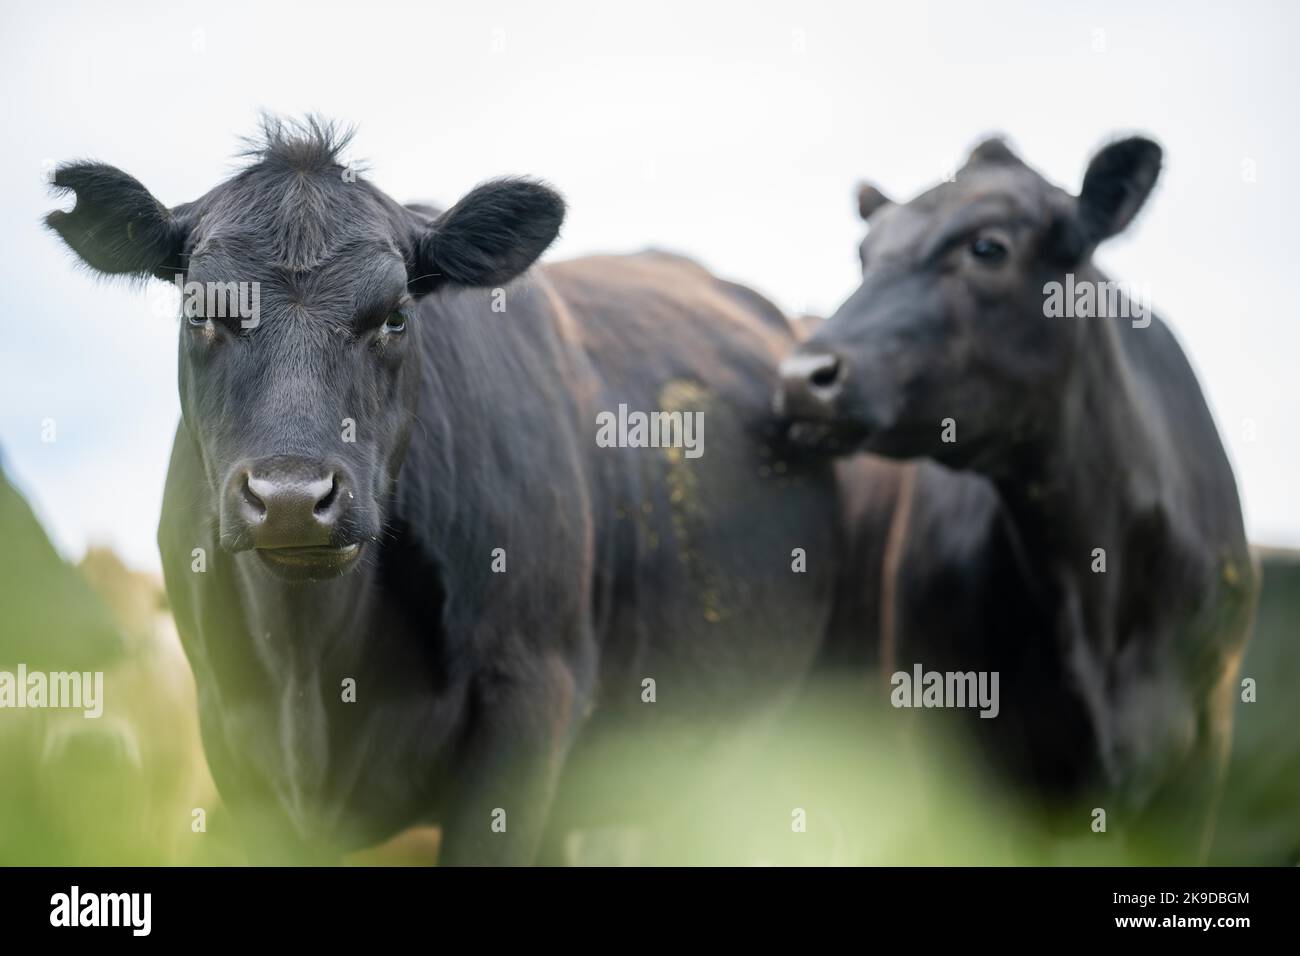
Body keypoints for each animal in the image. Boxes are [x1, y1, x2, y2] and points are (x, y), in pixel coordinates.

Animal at [46, 117, 843, 864]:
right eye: (201, 313)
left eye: (395, 316)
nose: (293, 497)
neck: (308, 664)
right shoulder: (231, 745)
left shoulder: (529, 705)